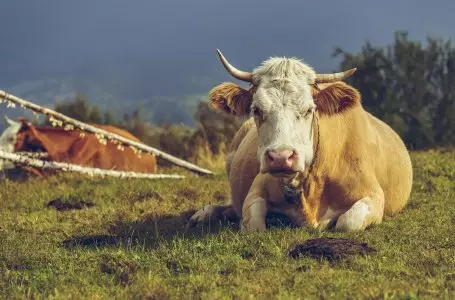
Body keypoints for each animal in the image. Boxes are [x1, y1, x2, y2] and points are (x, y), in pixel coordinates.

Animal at [188, 49, 414, 232]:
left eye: (309, 110)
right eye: (256, 110)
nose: (280, 157)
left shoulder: (373, 194)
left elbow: (347, 222)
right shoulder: (256, 189)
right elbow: (253, 223)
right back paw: (205, 213)